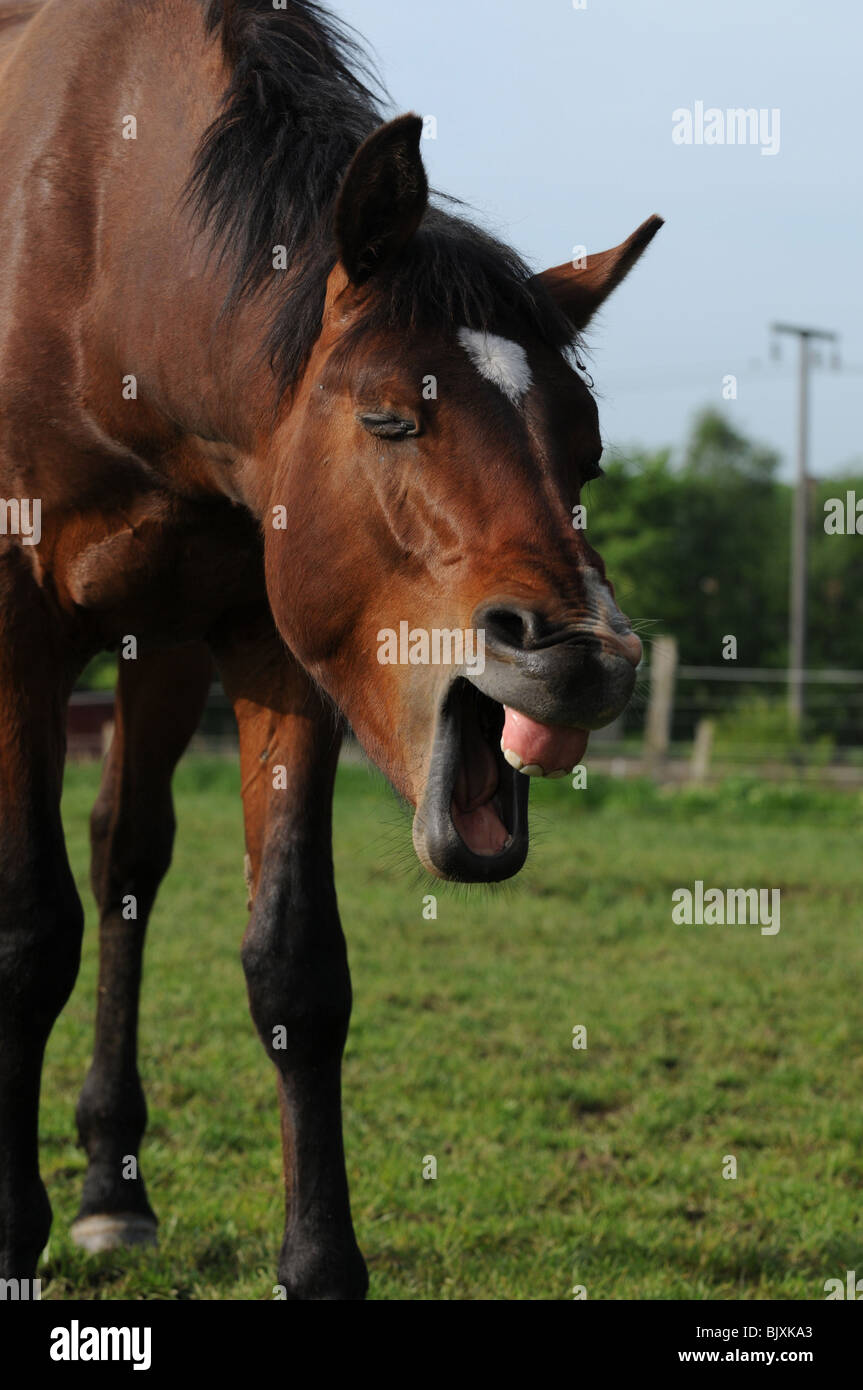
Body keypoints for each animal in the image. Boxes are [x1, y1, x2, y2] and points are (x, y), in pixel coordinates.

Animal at [0, 0, 661, 1298]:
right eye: (388, 416)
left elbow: (293, 961)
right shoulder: (13, 620)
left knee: (127, 855)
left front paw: (315, 1259)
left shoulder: (268, 640)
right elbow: (26, 932)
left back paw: (112, 1185)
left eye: (590, 453)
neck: (96, 233)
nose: (578, 651)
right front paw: (7, 1233)